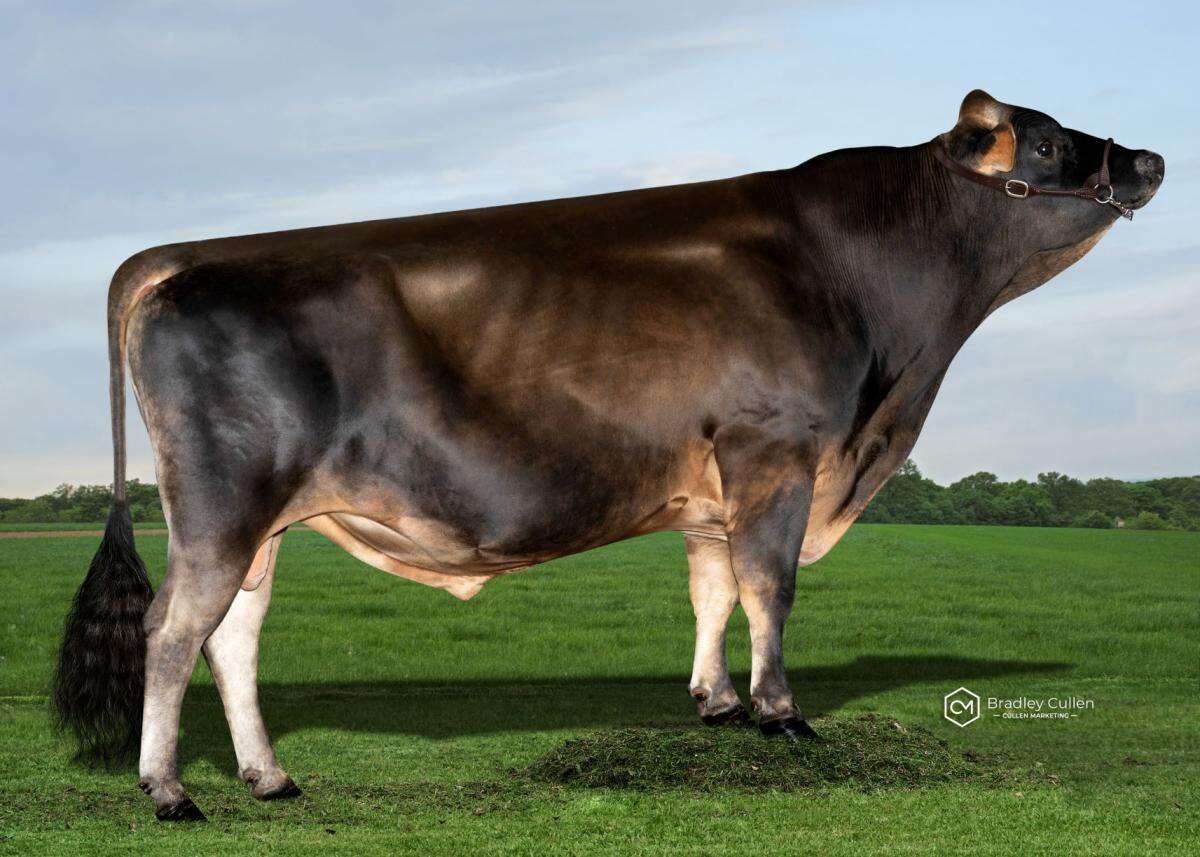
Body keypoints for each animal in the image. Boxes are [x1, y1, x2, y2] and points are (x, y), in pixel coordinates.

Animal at [53, 90, 1163, 820]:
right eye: (1051, 141)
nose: (1149, 160)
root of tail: (185, 260)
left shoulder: (713, 484)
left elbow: (713, 587)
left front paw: (716, 703)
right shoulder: (776, 450)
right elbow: (770, 585)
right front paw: (781, 714)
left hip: (262, 517)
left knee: (233, 635)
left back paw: (269, 775)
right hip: (224, 504)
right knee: (170, 629)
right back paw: (168, 788)